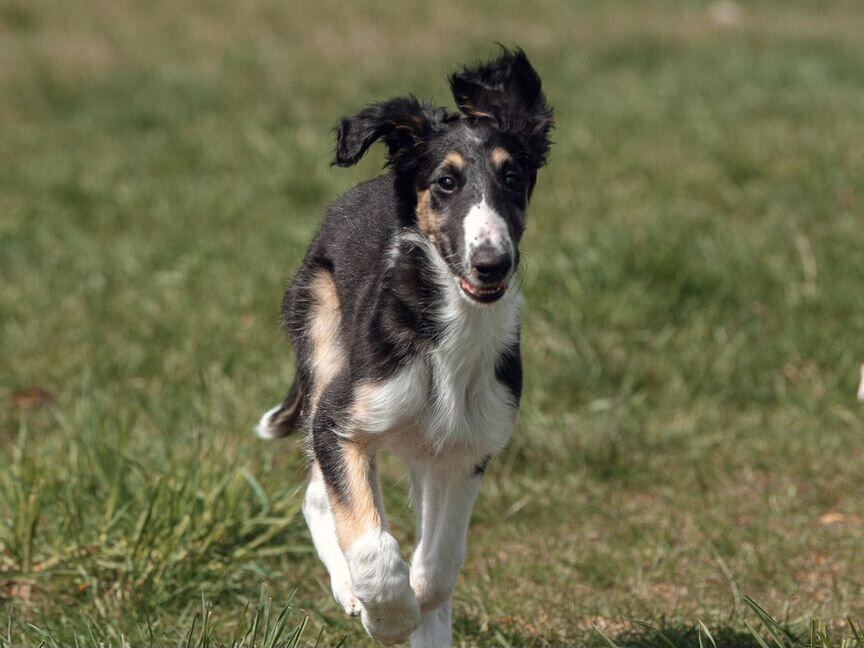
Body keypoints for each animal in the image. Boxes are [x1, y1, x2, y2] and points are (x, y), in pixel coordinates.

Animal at [256, 48, 552, 644]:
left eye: (513, 177)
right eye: (446, 182)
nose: (492, 264)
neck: (448, 330)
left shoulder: (466, 447)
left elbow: (440, 563)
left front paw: (420, 608)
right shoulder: (341, 420)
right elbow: (371, 541)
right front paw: (386, 614)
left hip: (425, 445)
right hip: (320, 339)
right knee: (318, 495)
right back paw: (351, 591)